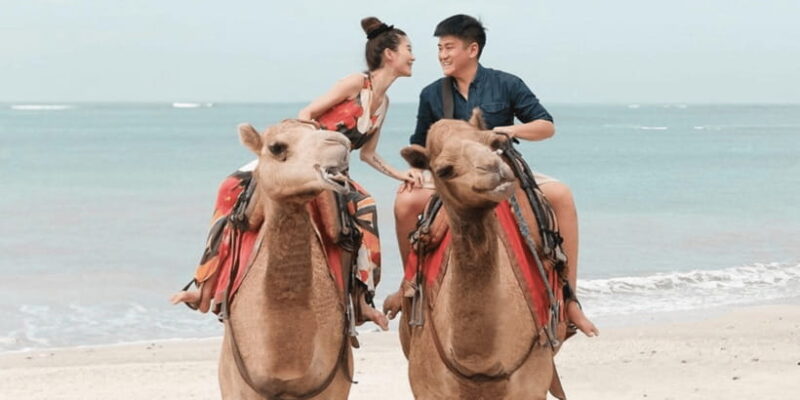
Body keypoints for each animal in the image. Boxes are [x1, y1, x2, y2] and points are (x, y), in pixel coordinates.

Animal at [398, 111, 561, 400]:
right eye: (444, 170)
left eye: (493, 143)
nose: (494, 168)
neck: (480, 366)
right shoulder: (426, 387)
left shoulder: (532, 385)